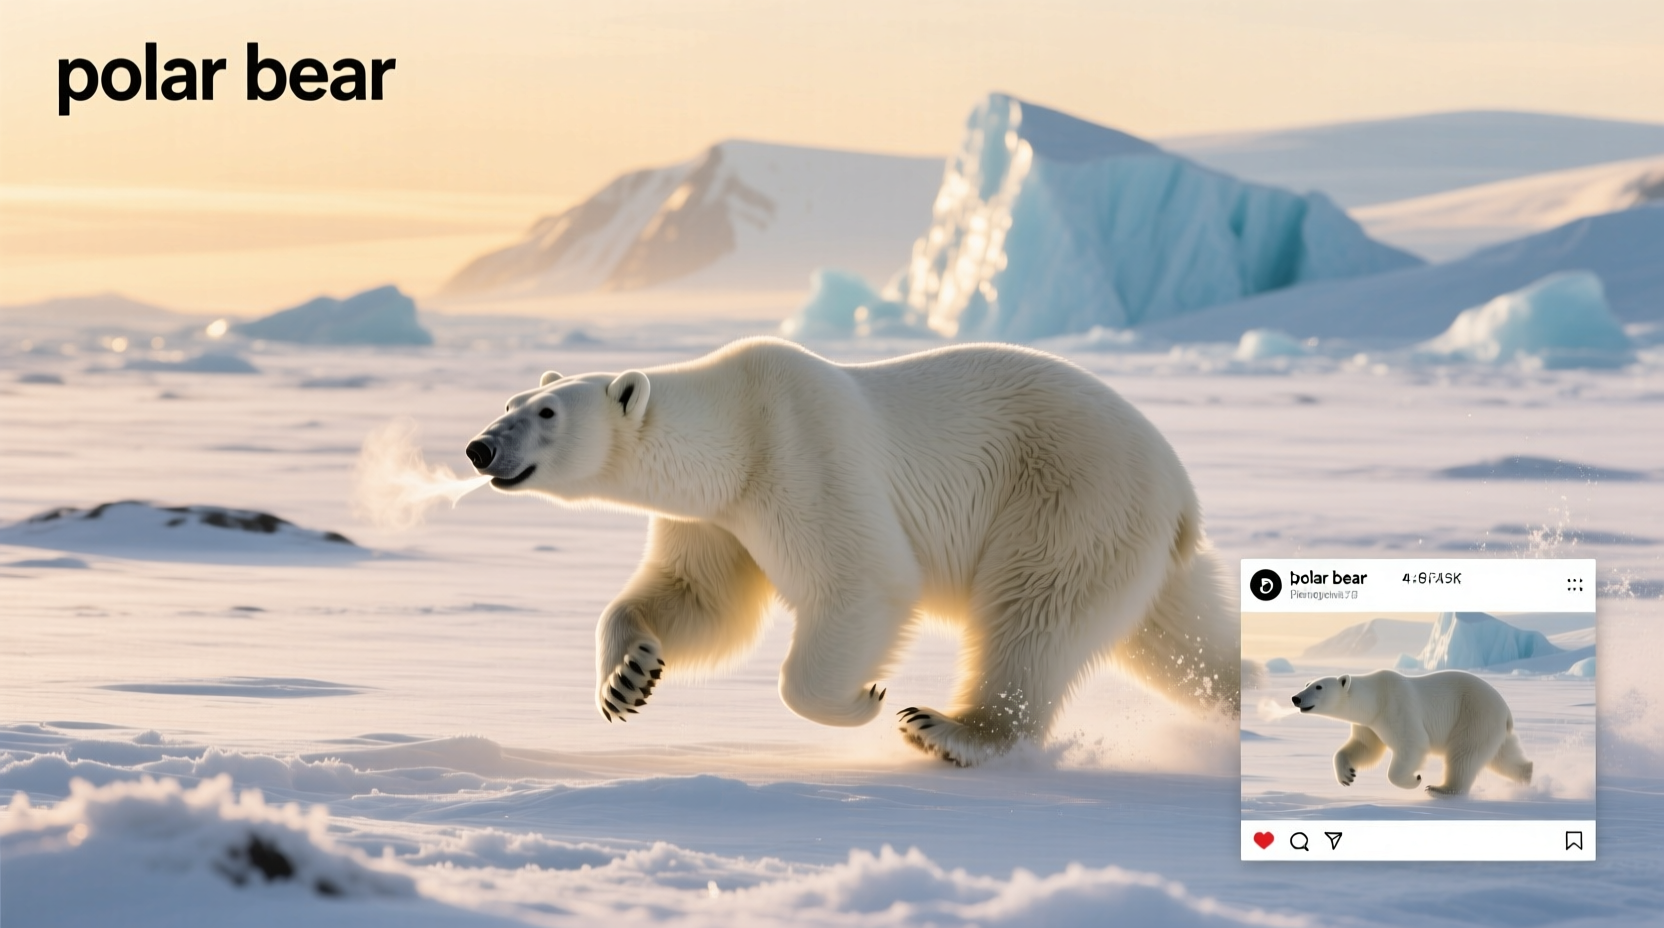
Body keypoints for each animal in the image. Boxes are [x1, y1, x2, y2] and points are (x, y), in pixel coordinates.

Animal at [464, 337, 1238, 766]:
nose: (480, 448)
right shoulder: (721, 517)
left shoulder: (800, 455)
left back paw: (948, 730)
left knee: (1034, 617)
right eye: (508, 402)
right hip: (1135, 541)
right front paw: (628, 678)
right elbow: (701, 597)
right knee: (1180, 636)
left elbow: (861, 581)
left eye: (547, 412)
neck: (734, 425)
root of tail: (1179, 489)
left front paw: (860, 698)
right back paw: (1235, 698)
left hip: (1069, 496)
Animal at [1290, 670, 1533, 796]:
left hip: (1474, 715)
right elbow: (1365, 747)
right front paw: (1347, 775)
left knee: (1464, 755)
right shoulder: (1370, 723)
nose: (1296, 698)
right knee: (1502, 757)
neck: (1375, 697)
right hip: (1492, 727)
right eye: (1307, 683)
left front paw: (1414, 778)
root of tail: (1506, 710)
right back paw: (1526, 775)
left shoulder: (1396, 707)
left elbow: (1412, 744)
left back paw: (1440, 788)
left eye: (1319, 687)